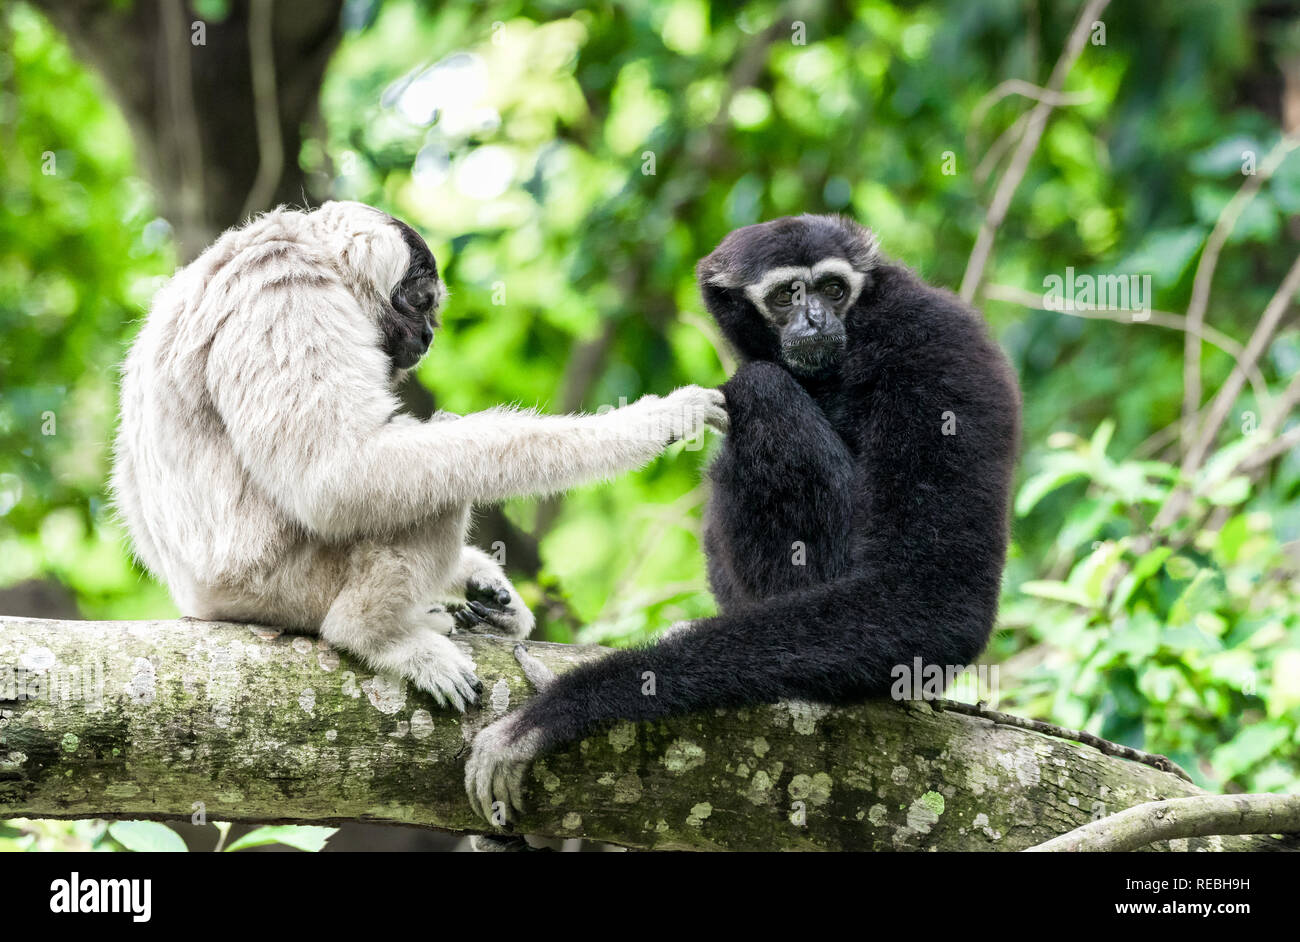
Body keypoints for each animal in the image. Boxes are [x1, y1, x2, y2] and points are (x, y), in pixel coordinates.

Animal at [111, 201, 727, 711]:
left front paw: (485, 585)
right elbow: (334, 478)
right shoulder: (285, 292)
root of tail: (199, 599)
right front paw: (649, 423)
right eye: (423, 302)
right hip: (281, 585)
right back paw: (375, 634)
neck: (304, 247)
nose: (429, 334)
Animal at [465, 213, 1021, 821]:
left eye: (832, 289)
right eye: (786, 295)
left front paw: (558, 708)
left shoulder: (934, 347)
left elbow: (932, 598)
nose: (815, 318)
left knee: (760, 388)